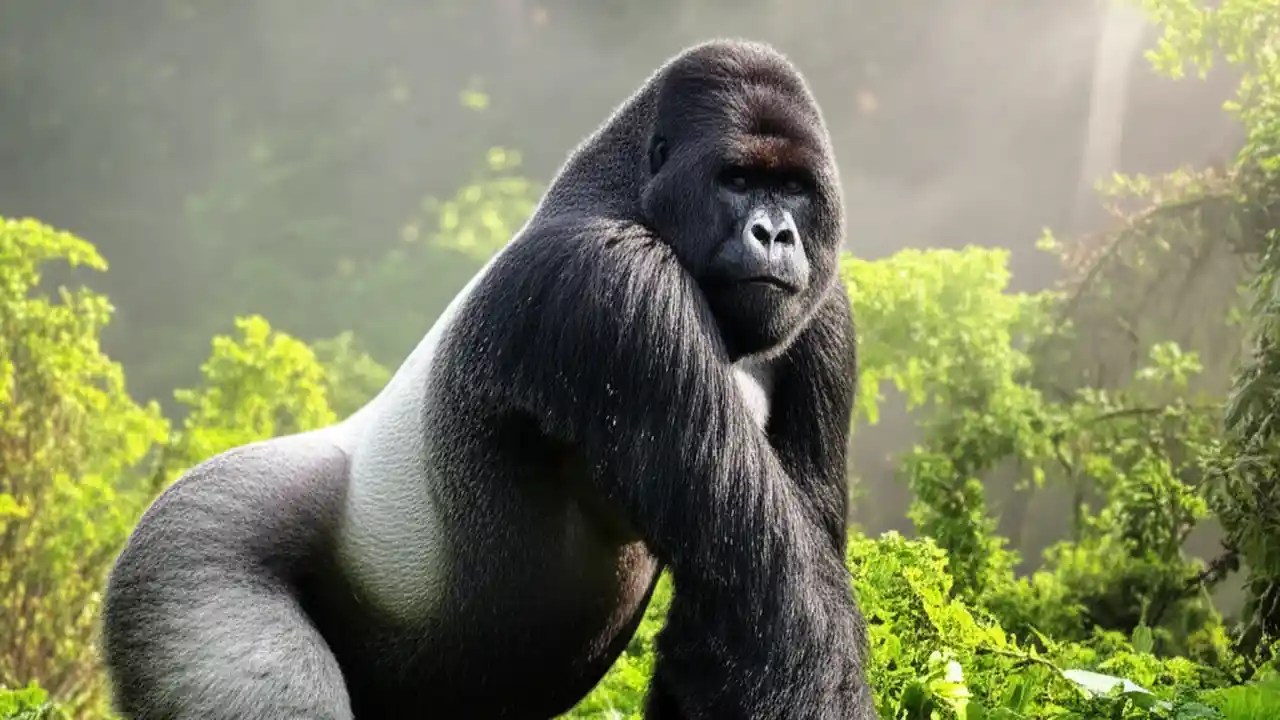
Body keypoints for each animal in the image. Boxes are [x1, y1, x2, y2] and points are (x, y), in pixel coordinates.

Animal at [101, 38, 876, 719]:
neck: (627, 193)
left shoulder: (824, 309)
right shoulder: (613, 281)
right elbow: (770, 614)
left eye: (793, 189)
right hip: (185, 554)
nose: (774, 234)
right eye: (738, 180)